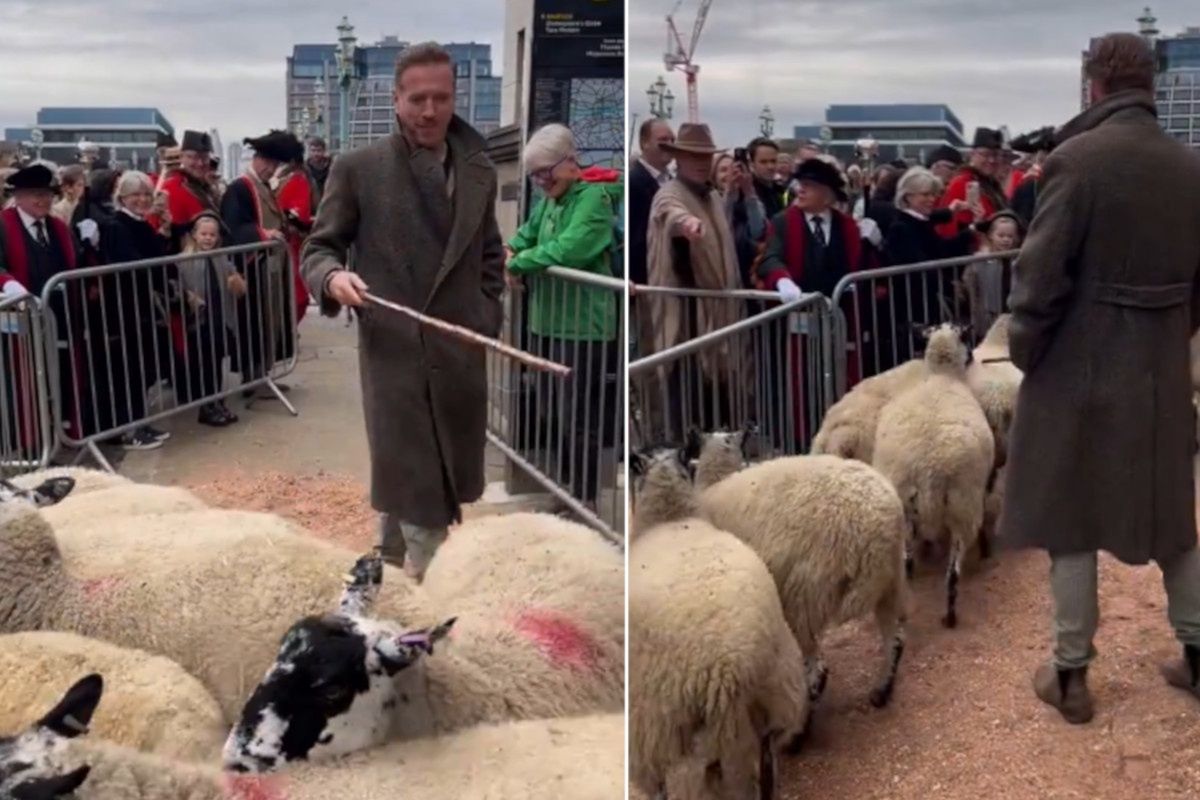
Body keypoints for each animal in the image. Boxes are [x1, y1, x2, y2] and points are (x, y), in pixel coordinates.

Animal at [695, 427, 908, 715]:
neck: (713, 483)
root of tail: (879, 524)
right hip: (891, 578)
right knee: (893, 639)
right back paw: (882, 688)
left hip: (808, 585)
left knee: (810, 647)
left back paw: (814, 689)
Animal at [873, 323, 995, 629]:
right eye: (966, 339)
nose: (972, 357)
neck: (942, 377)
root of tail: (929, 469)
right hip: (963, 507)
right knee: (952, 574)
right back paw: (950, 616)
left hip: (904, 509)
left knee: (907, 566)